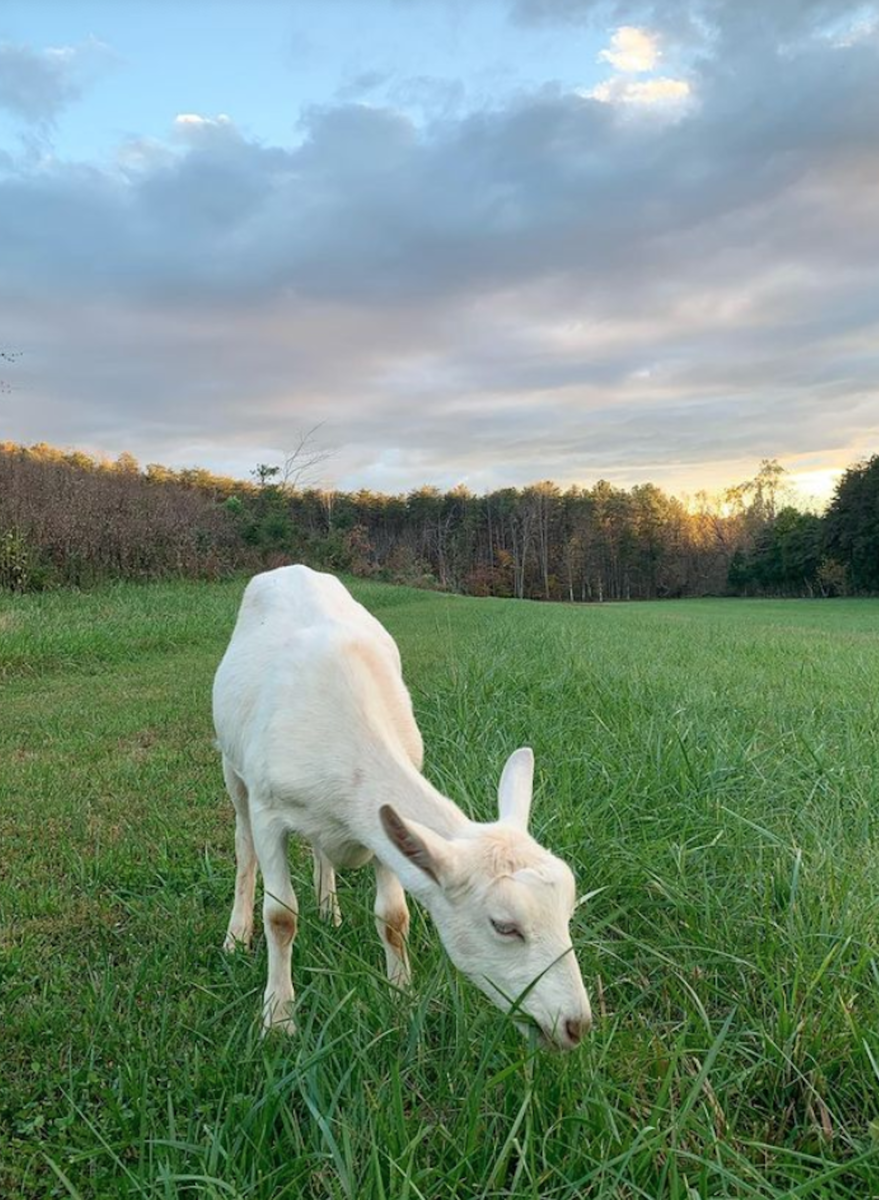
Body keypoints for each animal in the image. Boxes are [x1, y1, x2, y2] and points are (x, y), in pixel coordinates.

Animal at [212, 565, 591, 1049]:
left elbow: (393, 914)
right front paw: (278, 1021)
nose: (576, 1025)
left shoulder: (385, 826)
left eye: (567, 912)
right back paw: (237, 935)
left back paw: (329, 909)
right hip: (232, 766)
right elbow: (280, 916)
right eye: (504, 926)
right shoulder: (269, 808)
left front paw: (402, 997)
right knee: (243, 846)